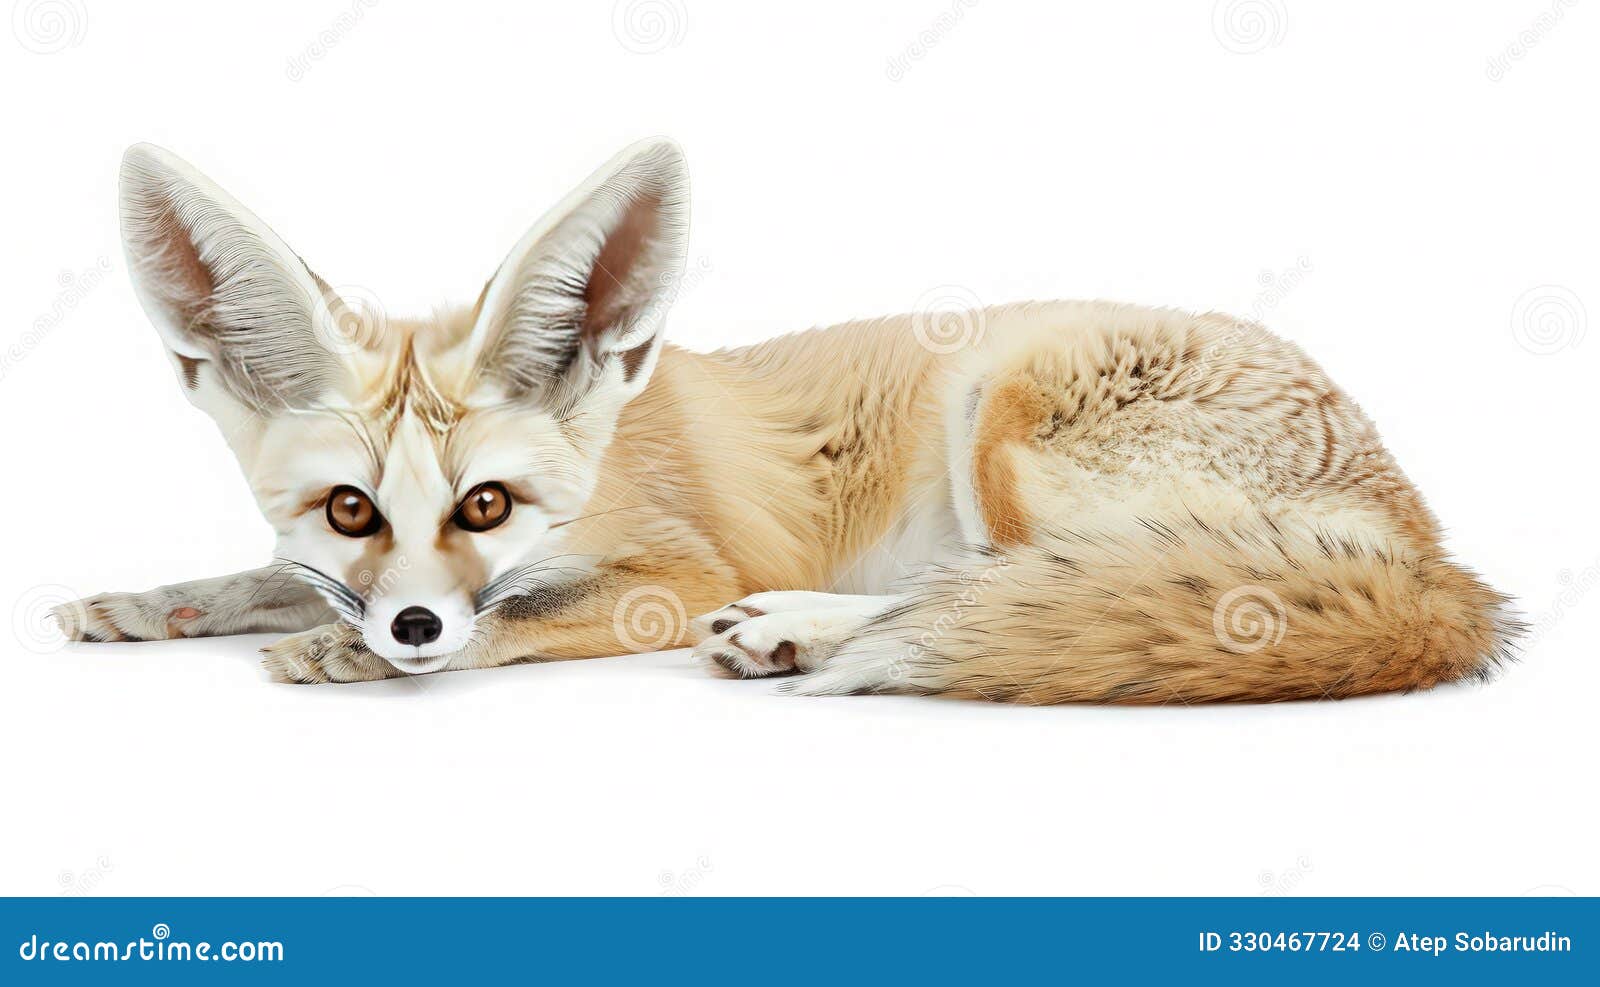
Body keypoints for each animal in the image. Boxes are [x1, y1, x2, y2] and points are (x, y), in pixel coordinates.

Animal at [51, 139, 1517, 702]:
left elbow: (517, 619)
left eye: (487, 505)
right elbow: (258, 576)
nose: (409, 627)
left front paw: (355, 654)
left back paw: (801, 628)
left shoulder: (675, 566)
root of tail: (1441, 560)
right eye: (351, 508)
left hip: (1004, 410)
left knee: (1003, 581)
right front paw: (148, 605)